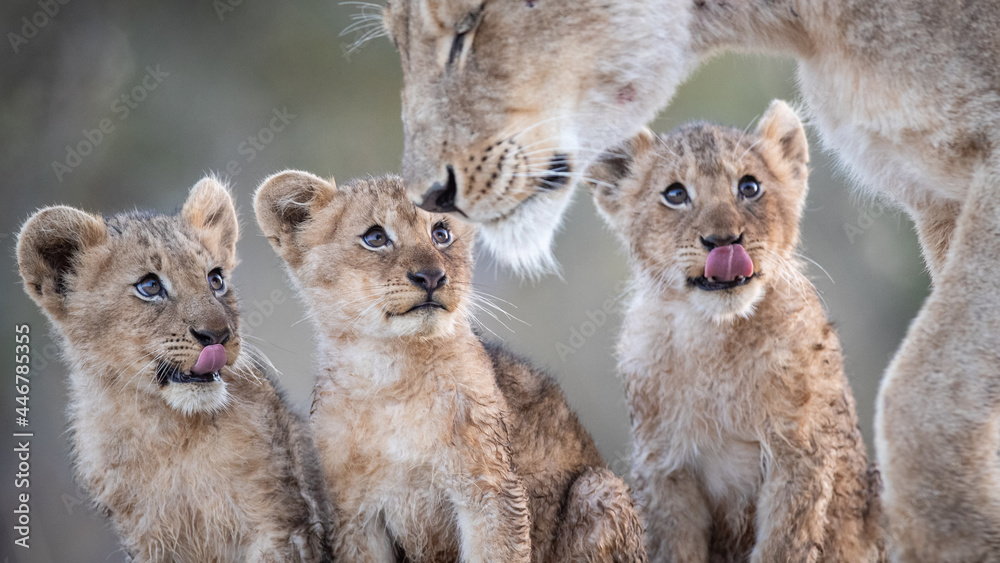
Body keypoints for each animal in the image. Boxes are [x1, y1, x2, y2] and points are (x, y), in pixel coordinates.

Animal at [16, 178, 335, 562]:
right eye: (150, 286)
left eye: (215, 279)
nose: (218, 335)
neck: (167, 428)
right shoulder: (147, 540)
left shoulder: (282, 522)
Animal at [254, 170, 646, 562]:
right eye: (375, 237)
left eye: (441, 234)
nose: (431, 276)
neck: (393, 372)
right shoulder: (353, 514)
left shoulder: (491, 490)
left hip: (599, 488)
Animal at [588, 99, 885, 562]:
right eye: (675, 194)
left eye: (749, 187)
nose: (725, 241)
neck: (716, 337)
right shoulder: (665, 469)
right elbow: (675, 548)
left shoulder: (799, 457)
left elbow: (783, 545)